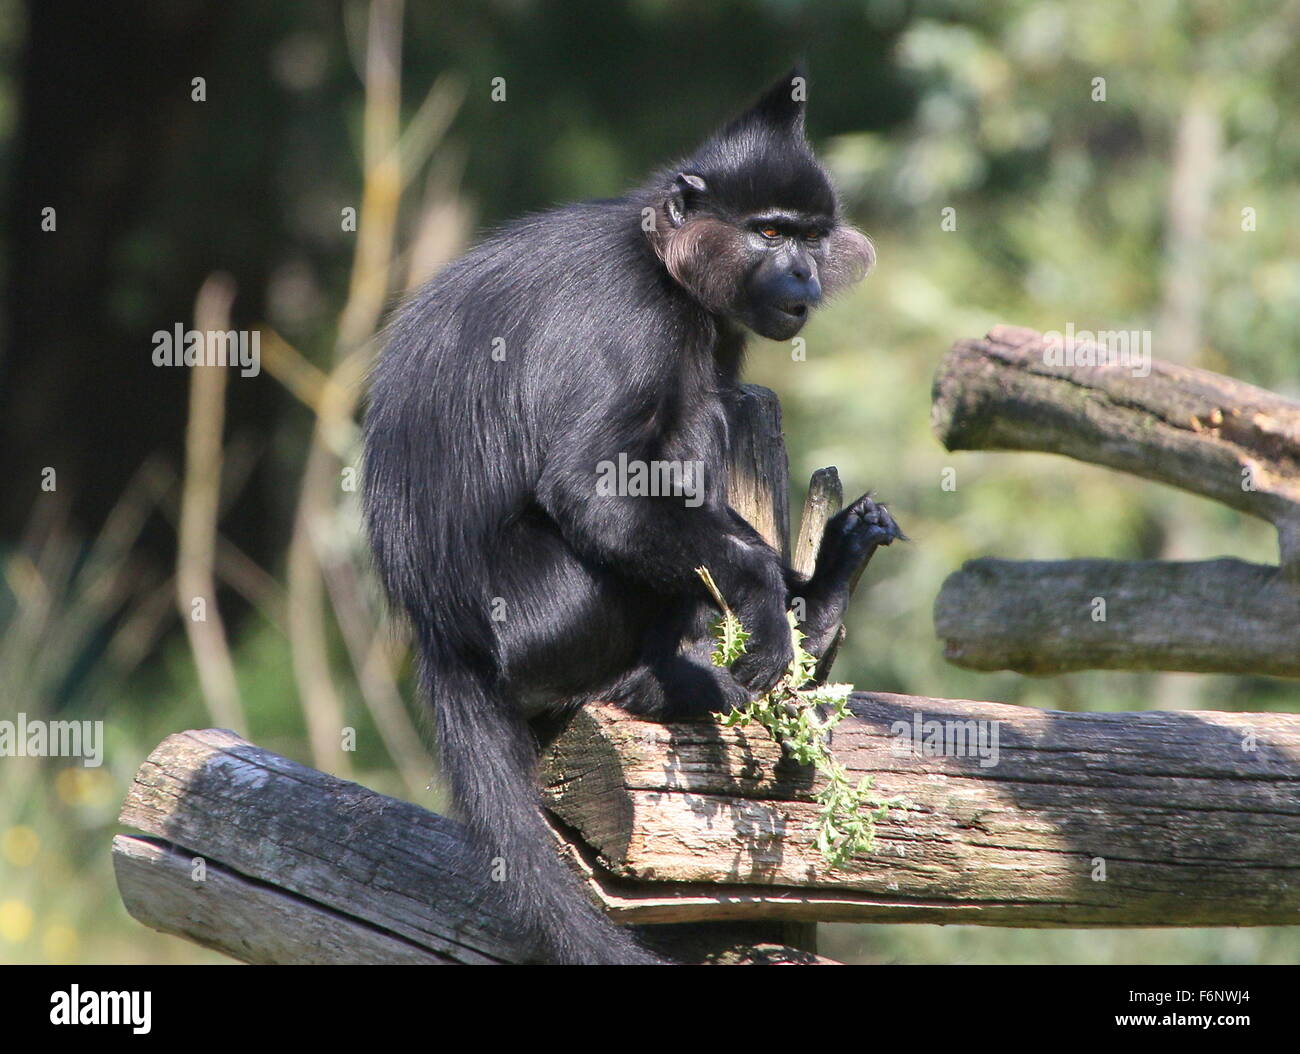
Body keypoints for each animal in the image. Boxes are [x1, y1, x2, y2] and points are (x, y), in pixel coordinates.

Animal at [362, 69, 900, 965]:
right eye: (766, 233)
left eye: (808, 237)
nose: (802, 279)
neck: (659, 255)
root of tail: (440, 636)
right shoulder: (633, 314)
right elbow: (591, 489)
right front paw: (768, 601)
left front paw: (804, 602)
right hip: (540, 614)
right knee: (693, 424)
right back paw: (659, 677)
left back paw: (818, 609)